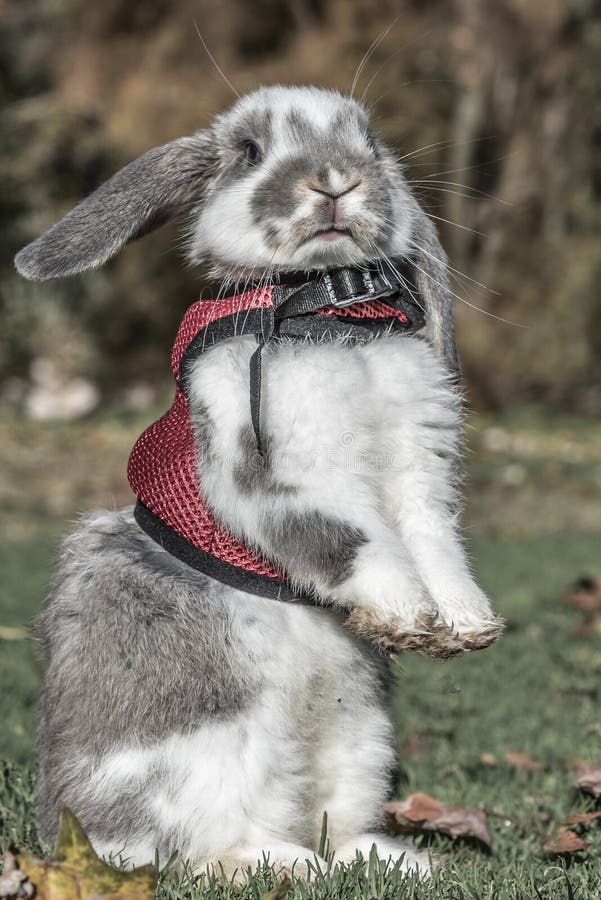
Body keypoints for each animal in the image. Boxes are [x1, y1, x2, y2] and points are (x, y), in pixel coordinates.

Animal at [15, 85, 503, 880]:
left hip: (358, 733)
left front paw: (460, 625)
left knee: (338, 825)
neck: (330, 309)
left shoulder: (418, 473)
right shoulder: (288, 475)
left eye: (370, 141)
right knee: (191, 851)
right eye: (249, 152)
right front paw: (406, 615)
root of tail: (69, 829)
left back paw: (401, 864)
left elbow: (434, 545)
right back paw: (281, 865)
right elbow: (352, 539)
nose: (334, 179)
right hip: (211, 747)